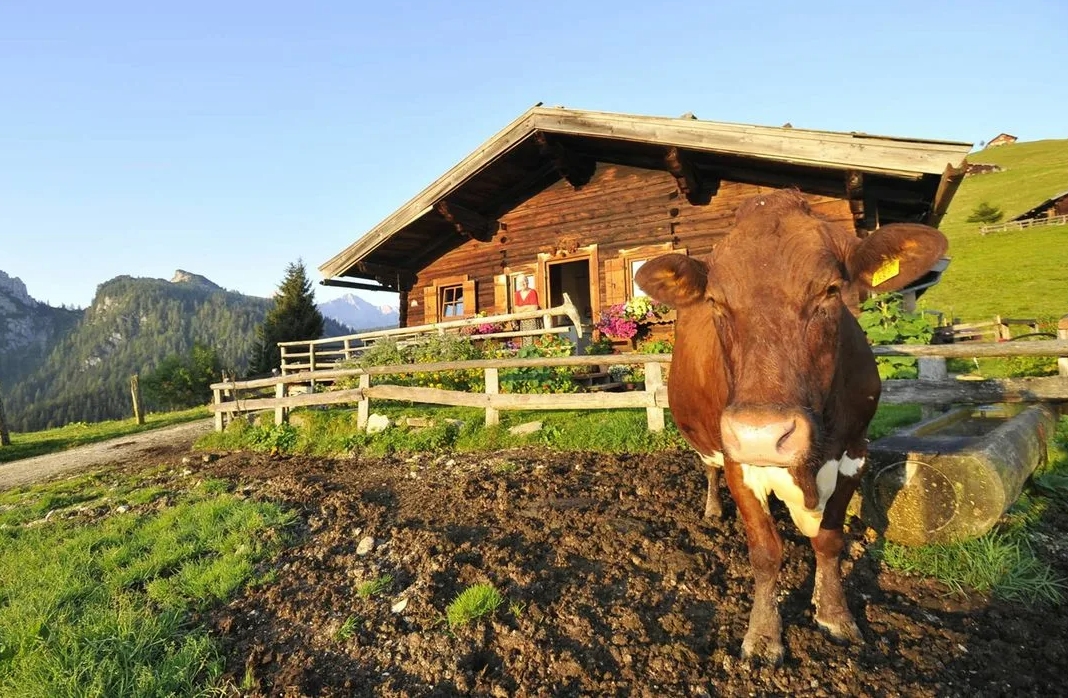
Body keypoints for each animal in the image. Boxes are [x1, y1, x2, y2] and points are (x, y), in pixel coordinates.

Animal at [632, 188, 944, 665]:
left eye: (831, 290)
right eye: (716, 301)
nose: (761, 433)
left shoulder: (855, 451)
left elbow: (829, 541)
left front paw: (833, 613)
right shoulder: (738, 460)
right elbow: (765, 552)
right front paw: (763, 635)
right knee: (708, 468)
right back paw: (712, 508)